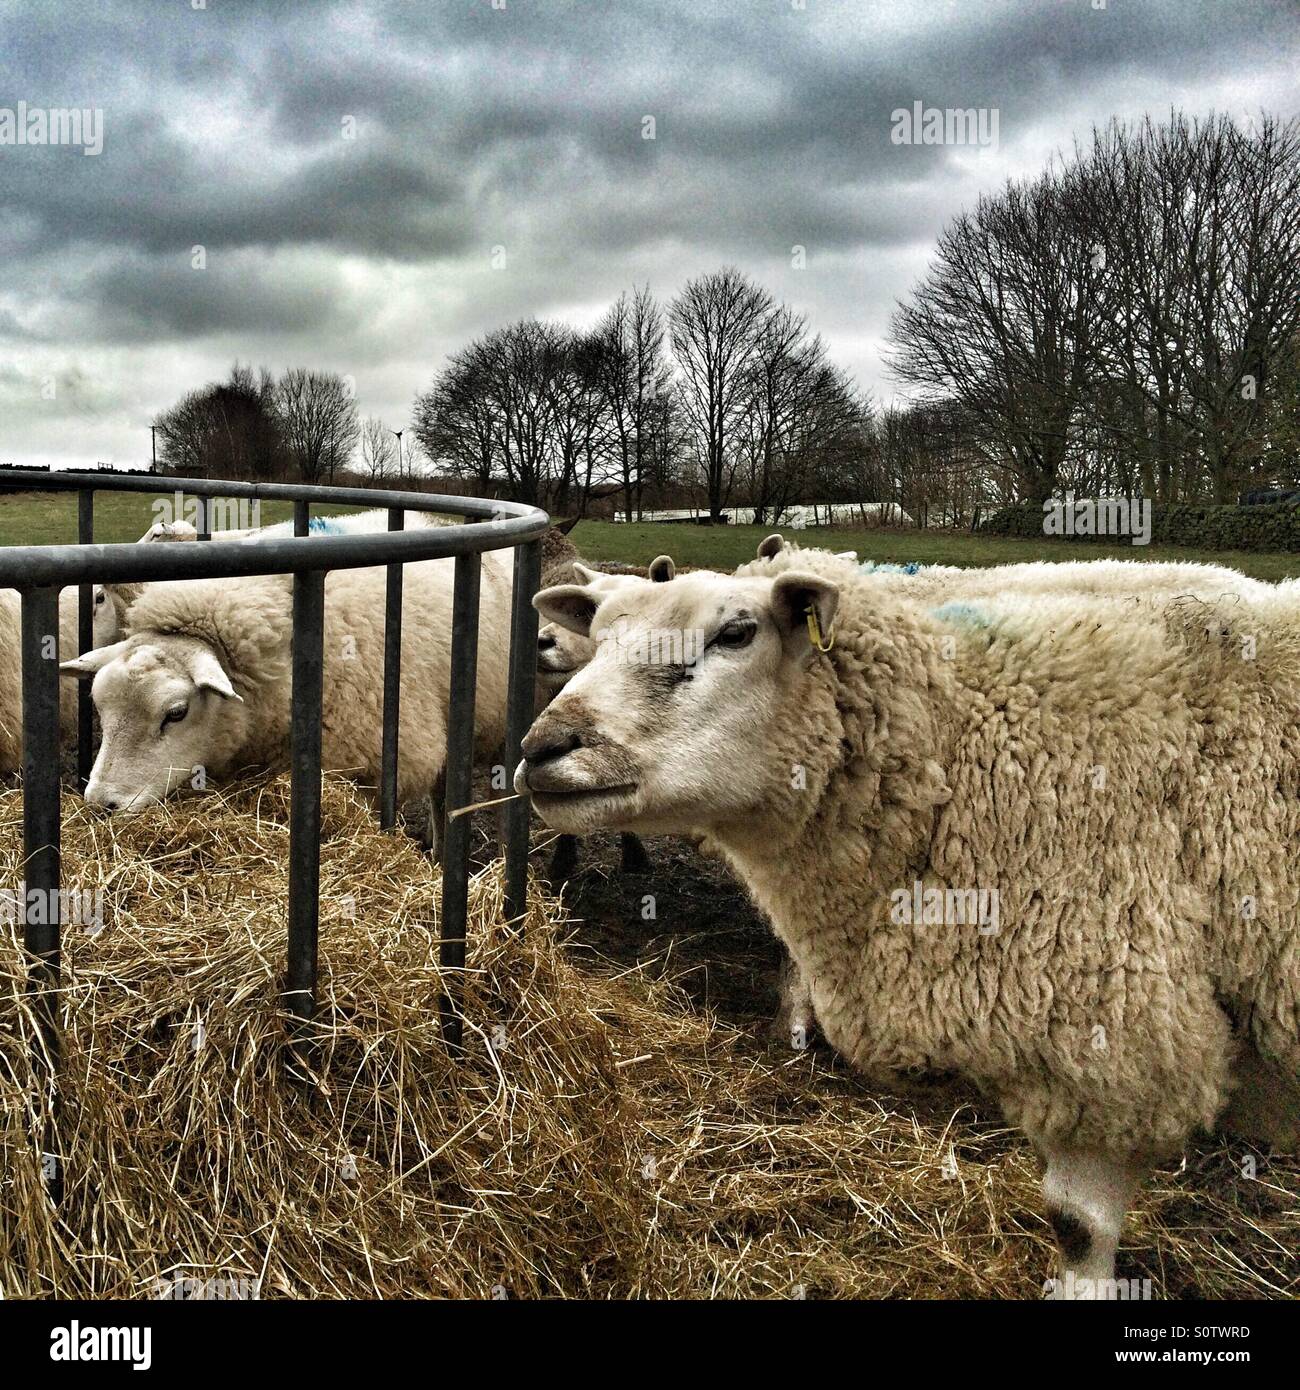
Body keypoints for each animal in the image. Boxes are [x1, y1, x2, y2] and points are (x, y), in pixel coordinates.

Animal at [517, 563, 1300, 1296]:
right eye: (600, 636)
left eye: (736, 633)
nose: (544, 747)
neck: (962, 750)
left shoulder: (1115, 1049)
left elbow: (1078, 1229)